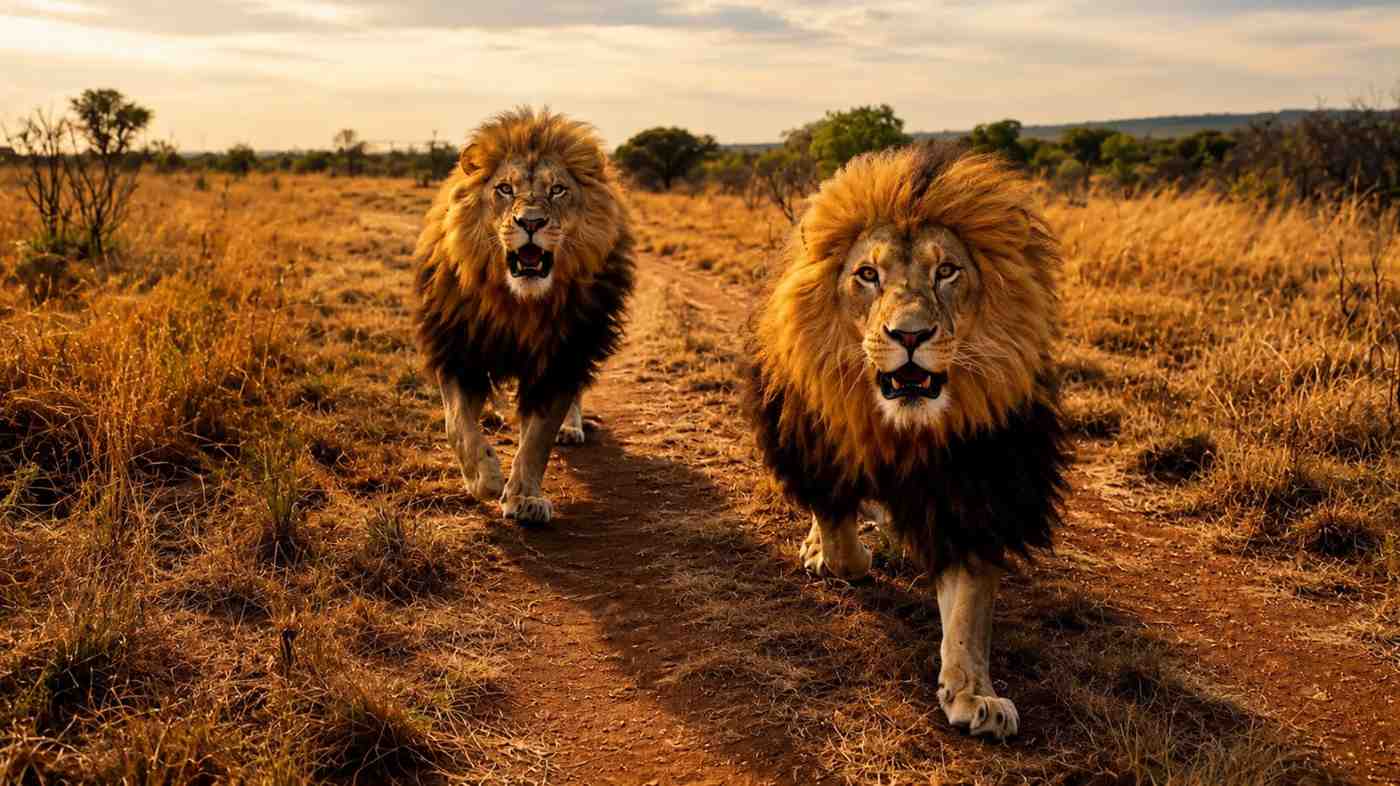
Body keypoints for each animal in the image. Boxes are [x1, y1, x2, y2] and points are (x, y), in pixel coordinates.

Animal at [414, 107, 634, 524]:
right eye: (504, 189)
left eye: (558, 190)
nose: (530, 223)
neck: (519, 304)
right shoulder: (458, 349)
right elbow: (457, 425)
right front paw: (484, 477)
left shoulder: (563, 357)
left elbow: (537, 439)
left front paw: (524, 497)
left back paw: (571, 428)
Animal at [743, 142, 1069, 740]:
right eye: (868, 274)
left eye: (947, 272)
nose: (911, 335)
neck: (902, 427)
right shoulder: (819, 450)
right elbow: (843, 544)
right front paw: (835, 556)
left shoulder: (973, 487)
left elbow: (968, 607)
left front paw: (973, 693)